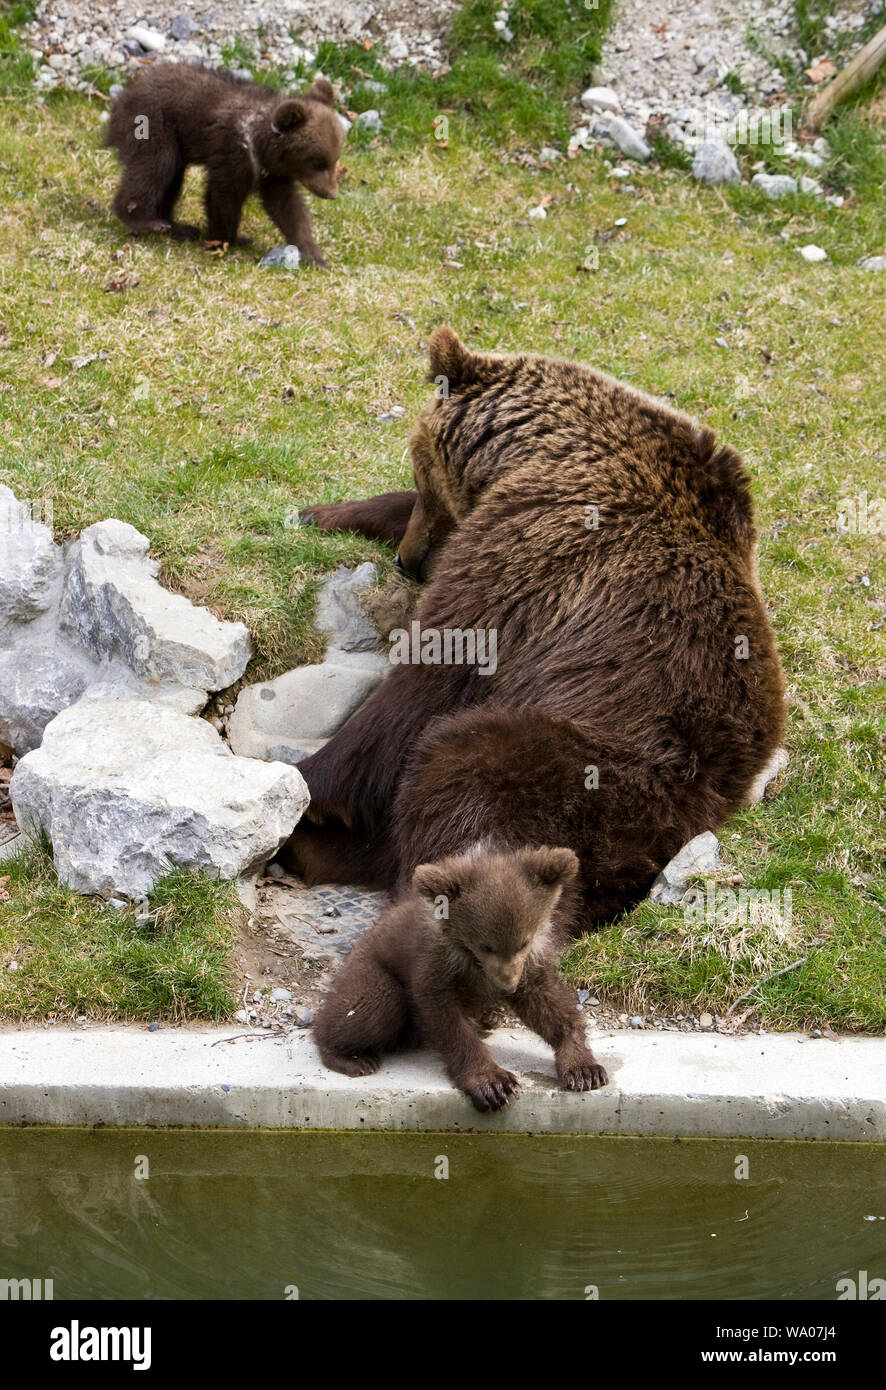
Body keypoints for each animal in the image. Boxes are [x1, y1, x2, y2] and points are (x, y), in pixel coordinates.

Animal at [105, 65, 344, 266]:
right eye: (319, 163)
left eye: (335, 158)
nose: (332, 193)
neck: (259, 143)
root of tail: (122, 98)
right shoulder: (232, 153)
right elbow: (223, 196)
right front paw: (225, 239)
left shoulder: (273, 173)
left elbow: (287, 207)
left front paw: (314, 254)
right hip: (153, 125)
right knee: (156, 166)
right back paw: (147, 220)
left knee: (172, 179)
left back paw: (178, 227)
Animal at [284, 326, 785, 937]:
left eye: (423, 469)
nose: (409, 559)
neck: (537, 450)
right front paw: (322, 511)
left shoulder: (538, 554)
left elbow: (428, 680)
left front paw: (303, 780)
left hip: (597, 769)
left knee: (462, 773)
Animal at [313, 844, 609, 1111]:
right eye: (485, 945)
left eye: (522, 942)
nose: (507, 985)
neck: (473, 963)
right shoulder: (436, 963)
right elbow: (445, 1019)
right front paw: (493, 1084)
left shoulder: (530, 963)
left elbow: (549, 1006)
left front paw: (585, 1070)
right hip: (368, 968)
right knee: (376, 1002)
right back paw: (353, 1058)